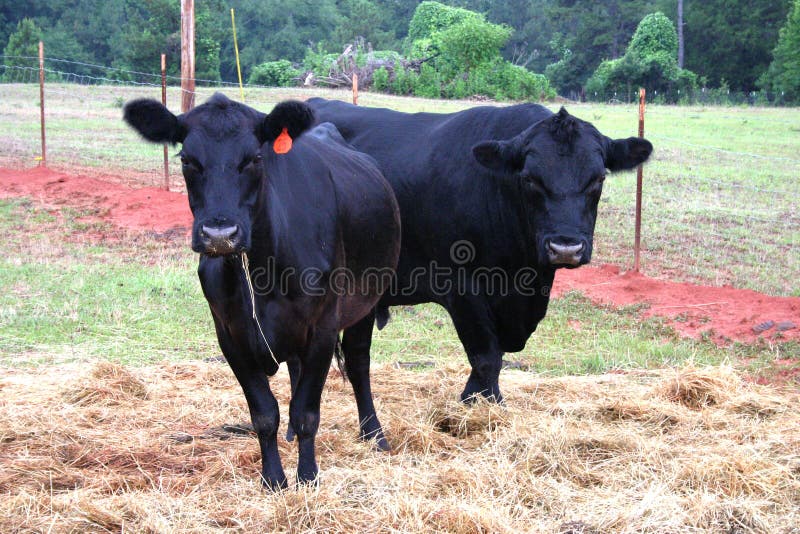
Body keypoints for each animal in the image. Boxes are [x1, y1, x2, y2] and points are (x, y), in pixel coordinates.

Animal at [123, 93, 401, 489]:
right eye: (187, 159)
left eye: (254, 158)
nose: (219, 234)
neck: (262, 272)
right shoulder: (230, 334)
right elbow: (265, 414)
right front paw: (273, 479)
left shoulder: (323, 327)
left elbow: (307, 412)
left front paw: (307, 477)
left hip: (366, 299)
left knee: (359, 362)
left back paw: (374, 434)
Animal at [307, 97, 652, 409]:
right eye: (529, 179)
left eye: (599, 178)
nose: (565, 246)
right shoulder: (460, 288)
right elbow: (487, 358)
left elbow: (493, 358)